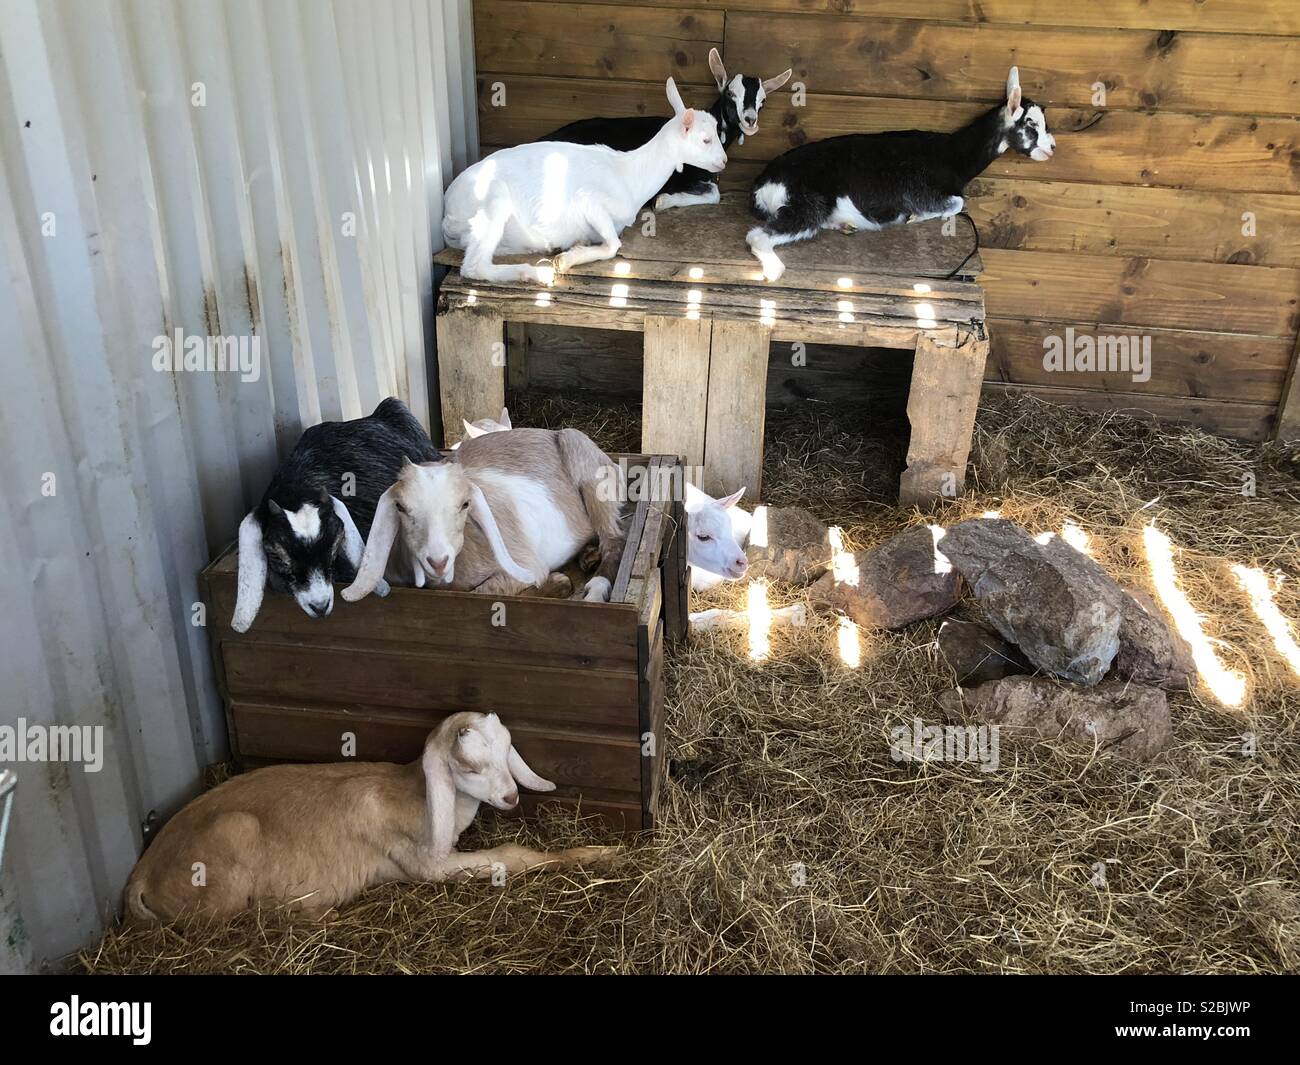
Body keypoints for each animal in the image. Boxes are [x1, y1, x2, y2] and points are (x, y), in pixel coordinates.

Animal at [124, 712, 613, 922]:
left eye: (507, 748)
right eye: (469, 767)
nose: (511, 797)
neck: (417, 797)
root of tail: (142, 875)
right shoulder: (425, 865)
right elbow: (512, 856)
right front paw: (597, 853)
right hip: (231, 843)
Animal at [343, 427, 626, 604]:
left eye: (465, 504)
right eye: (401, 507)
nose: (438, 561)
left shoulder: (523, 564)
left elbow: (487, 592)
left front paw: (558, 583)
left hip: (591, 475)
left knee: (614, 538)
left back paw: (596, 589)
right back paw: (588, 557)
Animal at [442, 79, 728, 284]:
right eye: (706, 139)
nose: (724, 161)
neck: (630, 173)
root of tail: (448, 212)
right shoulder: (589, 200)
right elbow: (613, 245)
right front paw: (567, 259)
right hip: (492, 200)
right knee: (473, 266)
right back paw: (535, 274)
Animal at [747, 67, 1056, 281]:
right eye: (1031, 124)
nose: (1052, 147)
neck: (952, 155)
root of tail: (763, 183)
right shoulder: (923, 192)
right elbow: (957, 203)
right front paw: (914, 217)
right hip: (808, 203)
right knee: (758, 236)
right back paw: (773, 269)